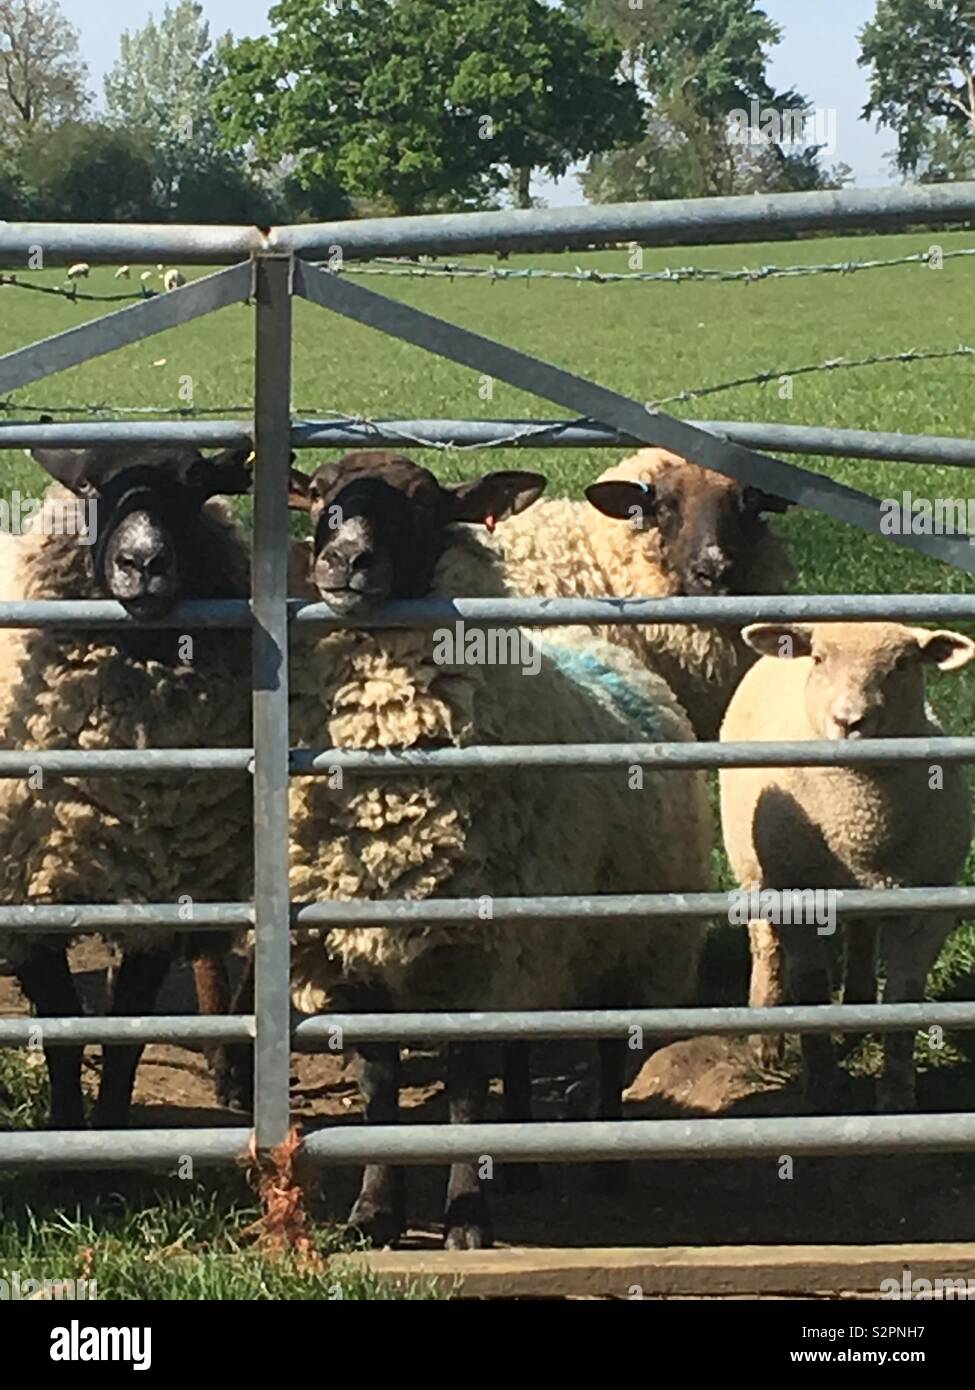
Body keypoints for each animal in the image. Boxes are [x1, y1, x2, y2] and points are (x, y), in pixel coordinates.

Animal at [0, 444, 258, 1128]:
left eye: (196, 482)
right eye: (90, 486)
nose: (142, 563)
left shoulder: (157, 895)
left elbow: (127, 1035)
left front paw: (111, 1125)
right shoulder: (26, 895)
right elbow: (63, 1030)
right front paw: (67, 1131)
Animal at [278, 450, 713, 1249]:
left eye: (424, 502)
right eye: (319, 493)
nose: (344, 559)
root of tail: (598, 643)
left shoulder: (477, 954)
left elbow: (460, 1087)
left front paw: (465, 1219)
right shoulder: (354, 957)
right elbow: (380, 1085)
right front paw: (374, 1213)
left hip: (624, 943)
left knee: (608, 1048)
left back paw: (606, 1164)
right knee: (518, 1043)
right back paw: (518, 1164)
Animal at [719, 621, 974, 1112]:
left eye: (902, 664)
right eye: (819, 659)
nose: (849, 721)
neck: (861, 823)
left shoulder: (929, 905)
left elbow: (905, 995)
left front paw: (896, 1095)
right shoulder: (795, 897)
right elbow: (811, 983)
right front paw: (821, 1088)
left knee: (859, 934)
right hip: (751, 863)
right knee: (766, 943)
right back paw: (765, 1037)